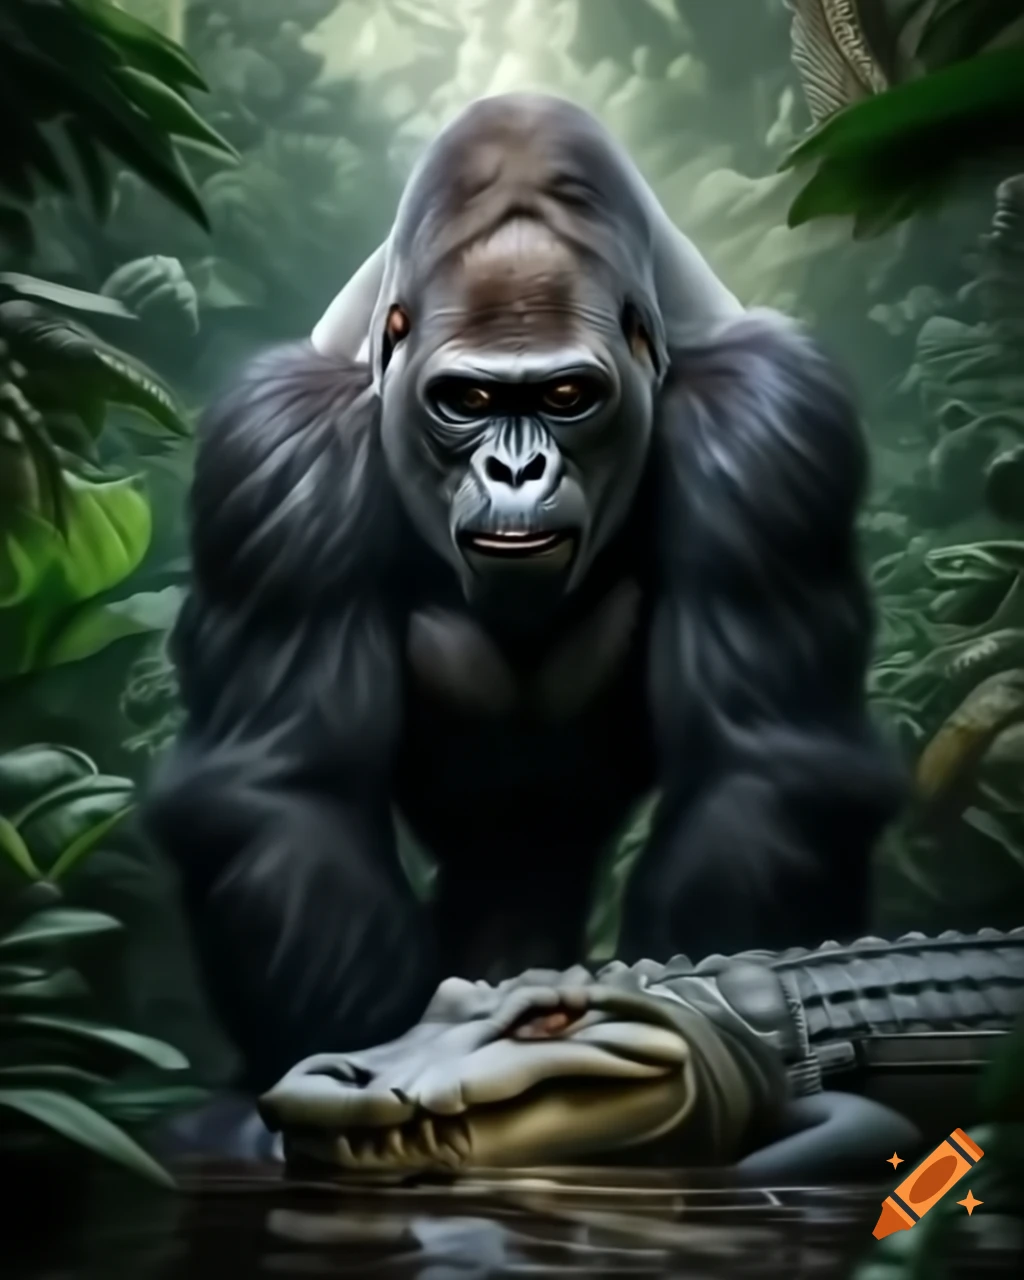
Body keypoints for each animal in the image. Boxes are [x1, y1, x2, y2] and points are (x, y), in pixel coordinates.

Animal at [144, 93, 905, 1091]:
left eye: (567, 396)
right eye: (467, 400)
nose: (516, 468)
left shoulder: (768, 431)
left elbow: (761, 769)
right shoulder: (276, 453)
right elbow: (288, 790)